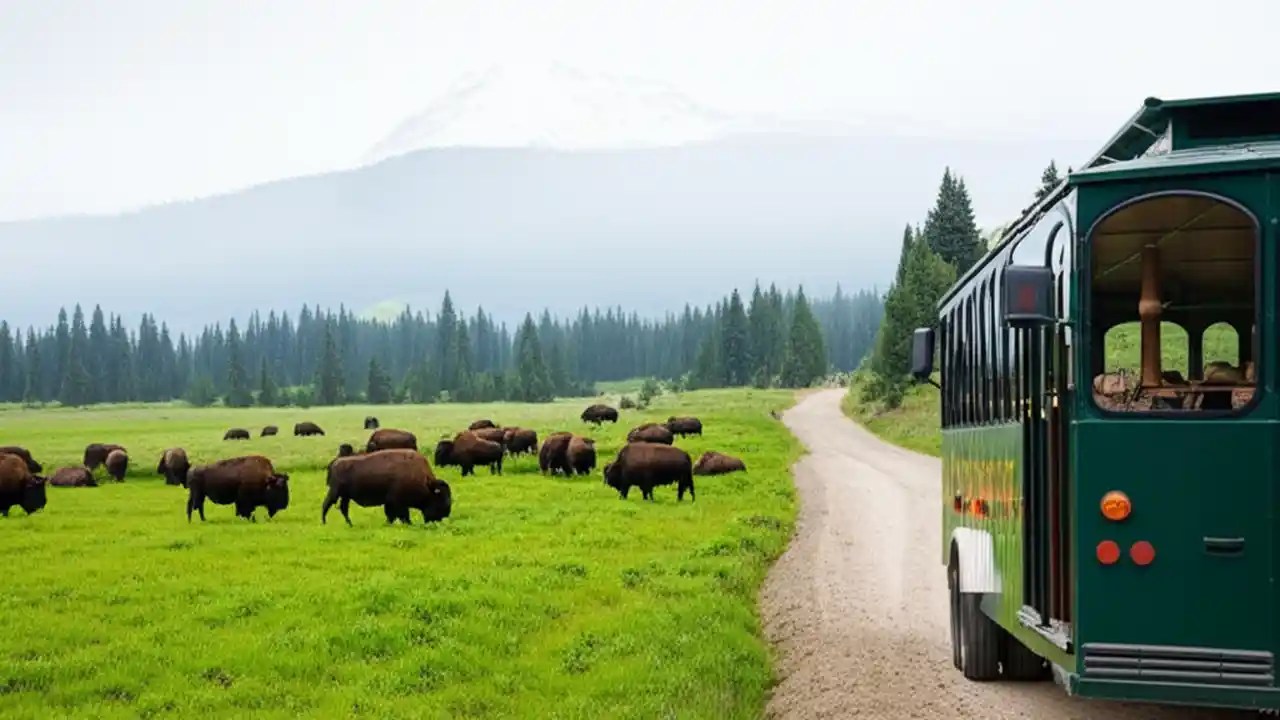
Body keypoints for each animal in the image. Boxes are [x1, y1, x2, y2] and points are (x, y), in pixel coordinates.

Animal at [323, 449, 451, 526]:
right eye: (440, 498)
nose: (445, 515)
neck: (425, 482)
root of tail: (335, 463)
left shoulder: (391, 503)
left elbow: (392, 515)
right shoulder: (397, 502)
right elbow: (400, 515)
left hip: (345, 496)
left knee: (343, 509)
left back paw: (350, 524)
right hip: (335, 492)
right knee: (326, 504)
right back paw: (324, 523)